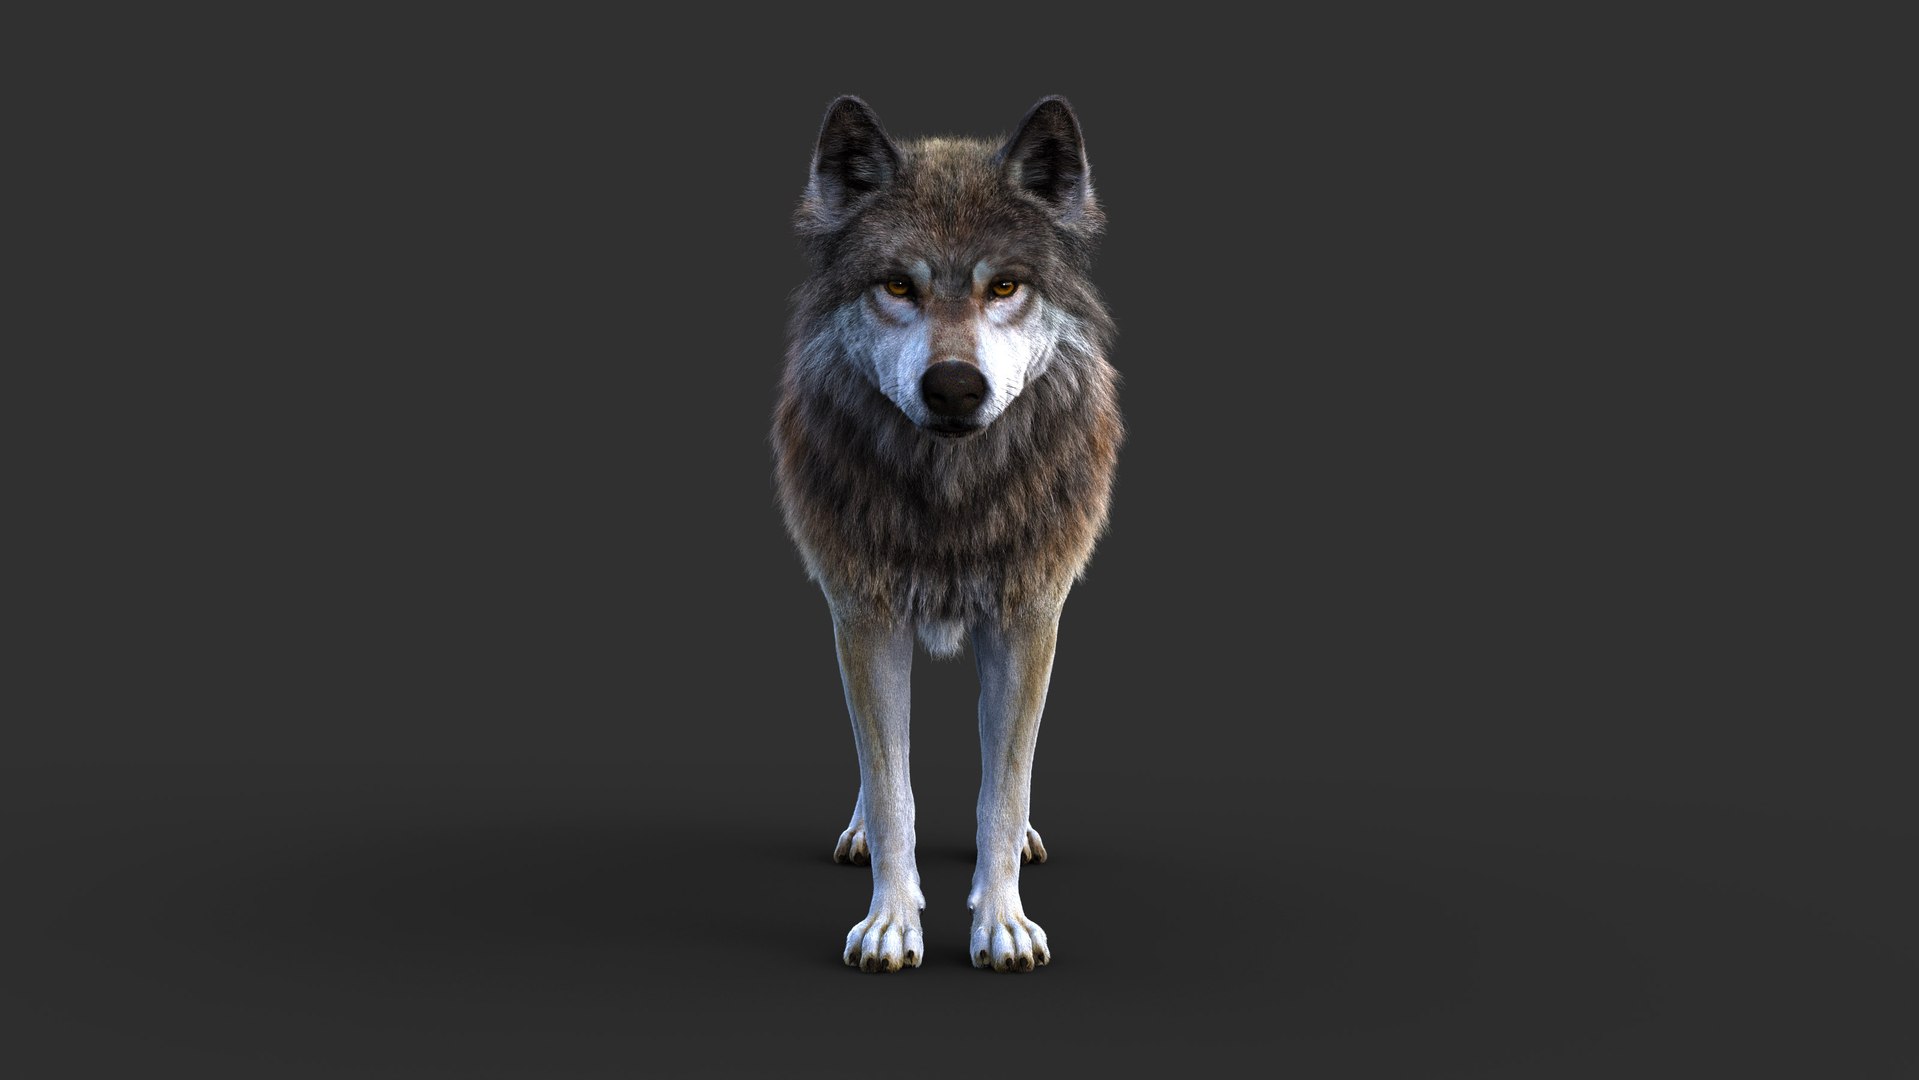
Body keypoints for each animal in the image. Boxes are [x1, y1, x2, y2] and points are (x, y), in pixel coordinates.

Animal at [772, 95, 1122, 973]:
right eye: (898, 284)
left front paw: (1002, 922)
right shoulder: (863, 617)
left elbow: (1003, 784)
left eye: (1005, 286)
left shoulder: (1028, 617)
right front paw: (890, 923)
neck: (951, 503)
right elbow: (892, 789)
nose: (956, 387)